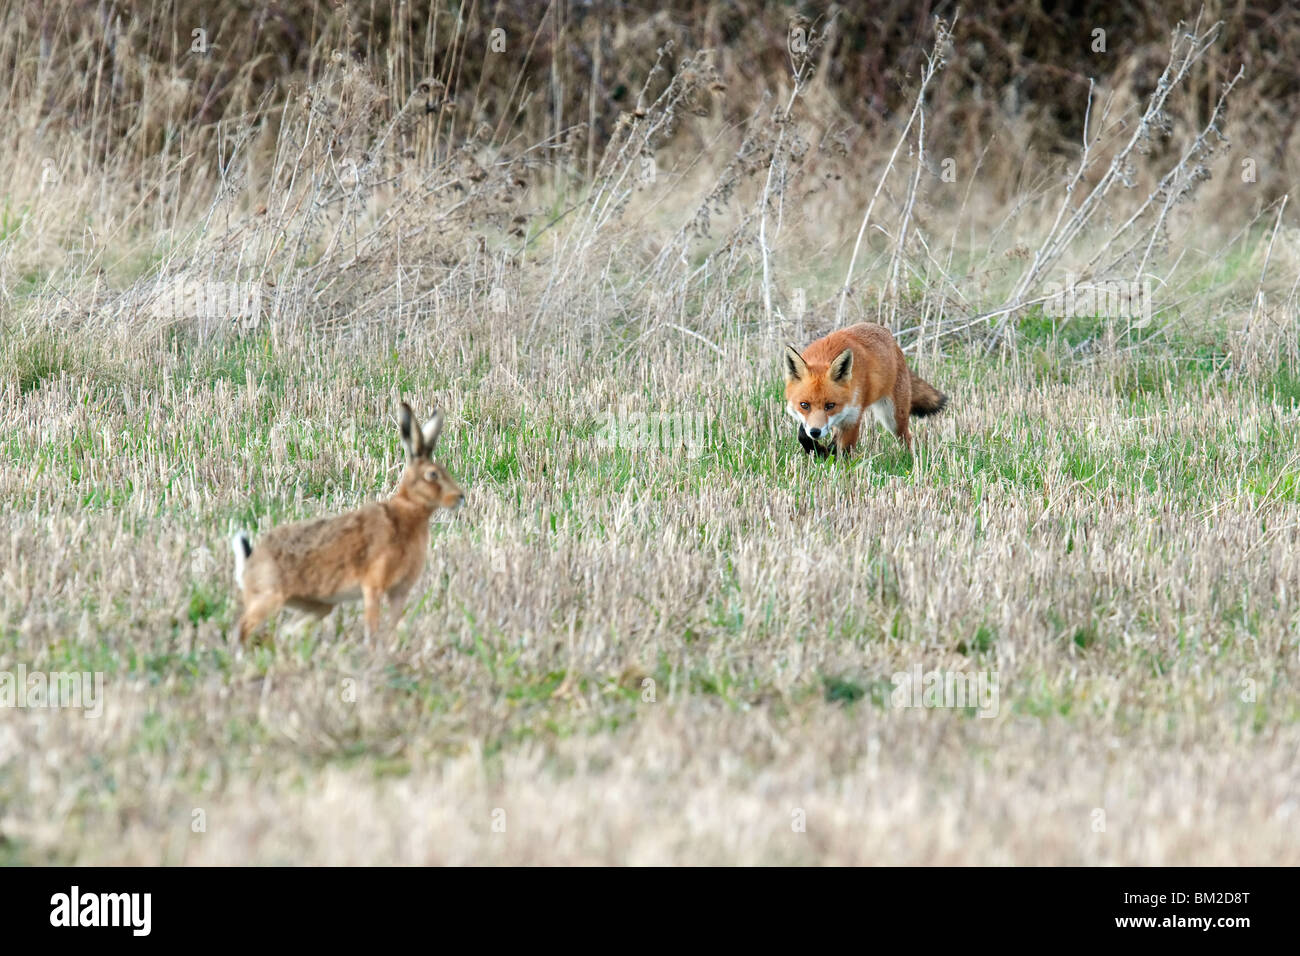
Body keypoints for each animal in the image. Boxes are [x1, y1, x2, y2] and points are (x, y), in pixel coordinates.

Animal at [231, 402, 464, 645]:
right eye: (433, 475)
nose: (460, 497)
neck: (408, 512)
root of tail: (248, 561)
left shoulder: (399, 592)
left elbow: (393, 626)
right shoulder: (373, 586)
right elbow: (373, 628)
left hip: (317, 604)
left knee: (288, 630)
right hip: (269, 598)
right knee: (242, 630)